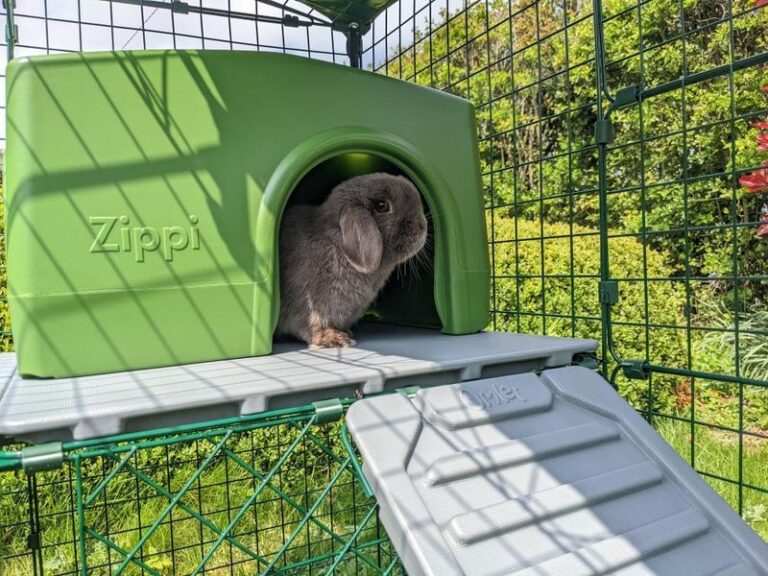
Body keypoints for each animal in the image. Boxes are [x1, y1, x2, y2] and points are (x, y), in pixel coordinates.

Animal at [277, 173, 428, 349]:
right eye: (382, 205)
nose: (422, 226)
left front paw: (346, 333)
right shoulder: (309, 307)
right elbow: (312, 326)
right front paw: (336, 340)